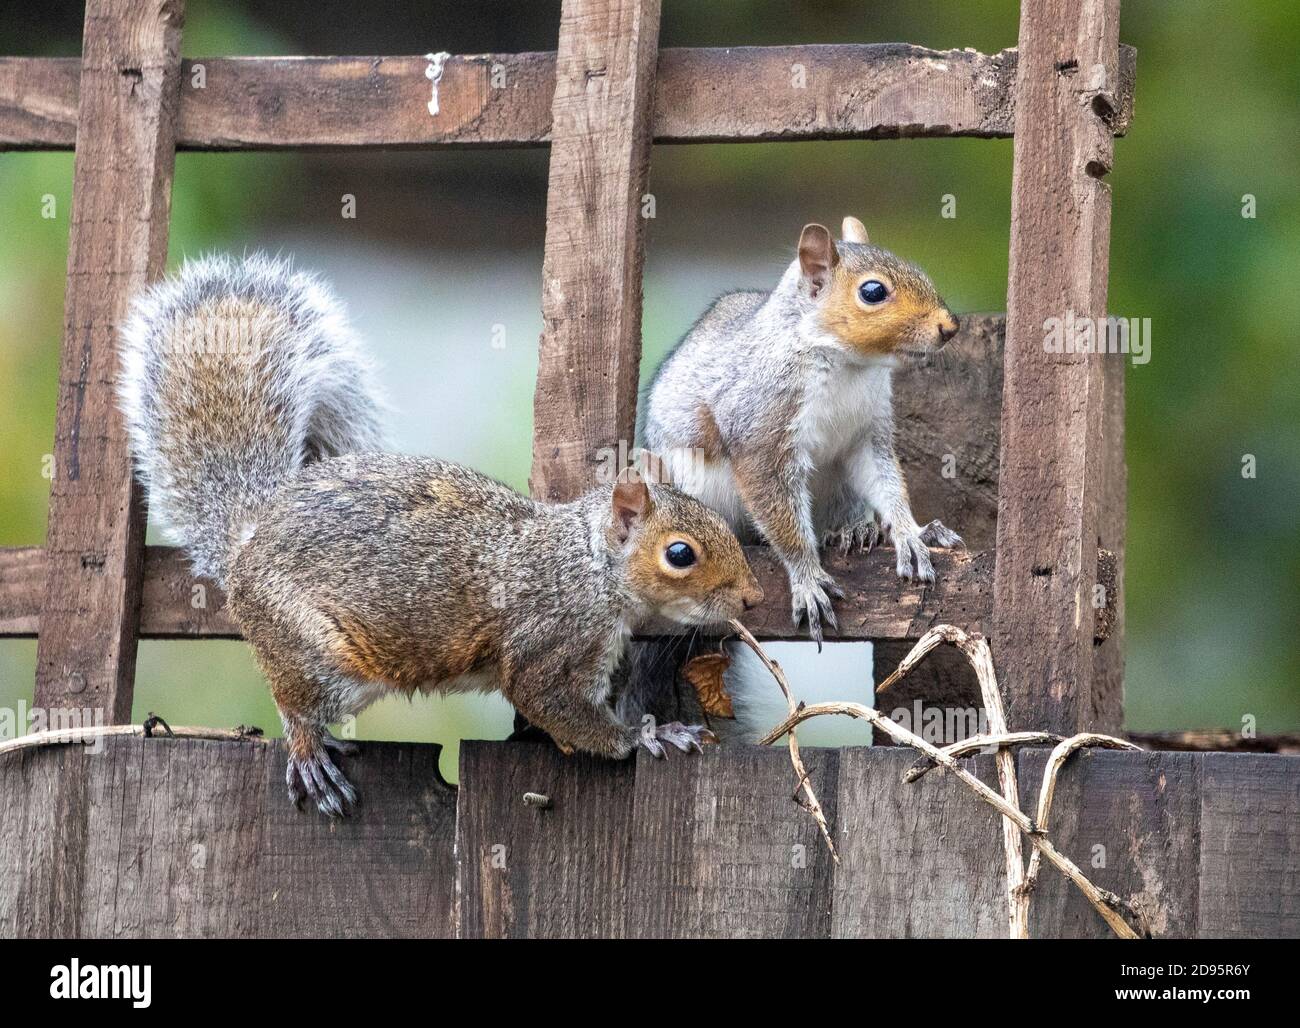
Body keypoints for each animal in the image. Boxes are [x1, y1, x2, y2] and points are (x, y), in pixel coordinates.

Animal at [116, 253, 764, 817]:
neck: (585, 565)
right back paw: (309, 754)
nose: (753, 597)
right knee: (296, 706)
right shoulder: (549, 646)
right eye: (679, 553)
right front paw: (649, 736)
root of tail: (248, 539)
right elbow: (555, 707)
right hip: (316, 650)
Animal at [643, 215, 964, 645]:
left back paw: (855, 530)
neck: (847, 363)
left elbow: (885, 483)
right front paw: (808, 579)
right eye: (873, 292)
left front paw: (910, 533)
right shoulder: (762, 433)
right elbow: (783, 519)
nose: (950, 326)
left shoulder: (867, 434)